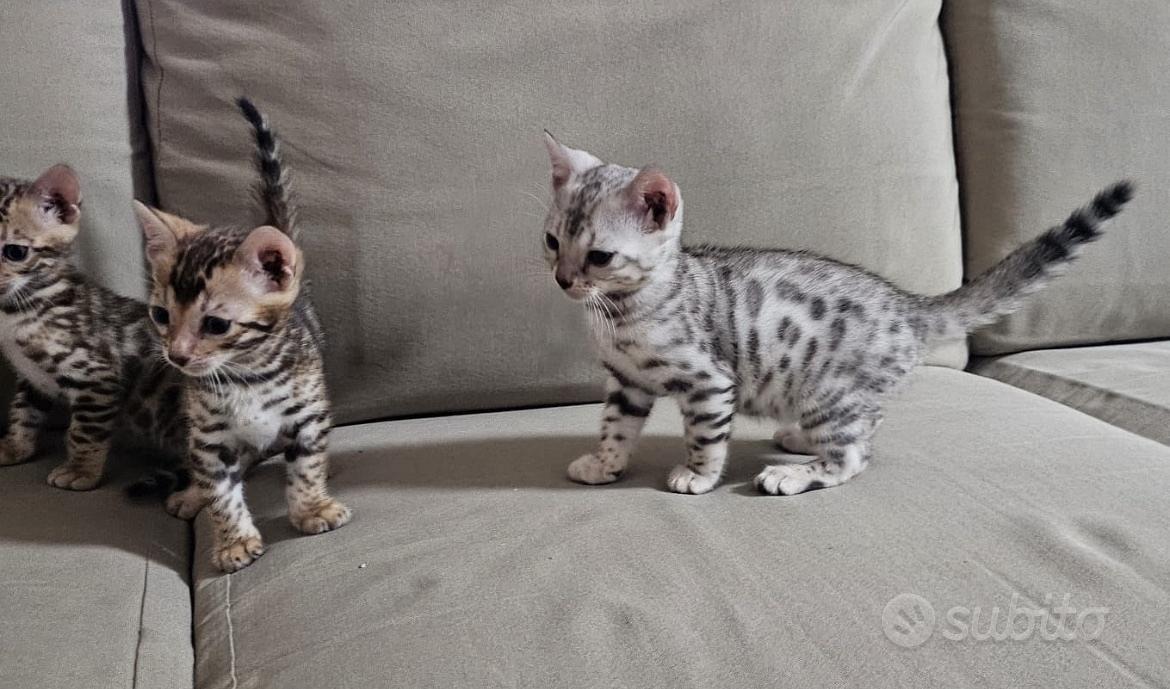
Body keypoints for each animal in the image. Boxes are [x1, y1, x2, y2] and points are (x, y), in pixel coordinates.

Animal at [0, 165, 185, 489]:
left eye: (14, 252)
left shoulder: (96, 374)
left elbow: (85, 430)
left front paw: (81, 470)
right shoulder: (32, 377)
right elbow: (23, 410)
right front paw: (16, 446)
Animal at [132, 98, 350, 572]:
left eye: (216, 324)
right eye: (161, 315)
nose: (177, 356)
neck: (246, 375)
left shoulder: (307, 414)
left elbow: (305, 466)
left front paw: (312, 507)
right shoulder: (209, 436)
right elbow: (221, 492)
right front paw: (233, 541)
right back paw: (191, 493)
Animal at [541, 132, 1133, 496]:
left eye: (599, 257)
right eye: (551, 242)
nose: (562, 281)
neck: (622, 314)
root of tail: (910, 304)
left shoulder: (708, 383)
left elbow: (705, 438)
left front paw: (697, 475)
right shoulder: (626, 383)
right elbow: (615, 428)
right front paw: (604, 463)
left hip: (829, 391)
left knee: (853, 456)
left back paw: (792, 475)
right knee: (867, 429)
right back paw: (798, 442)